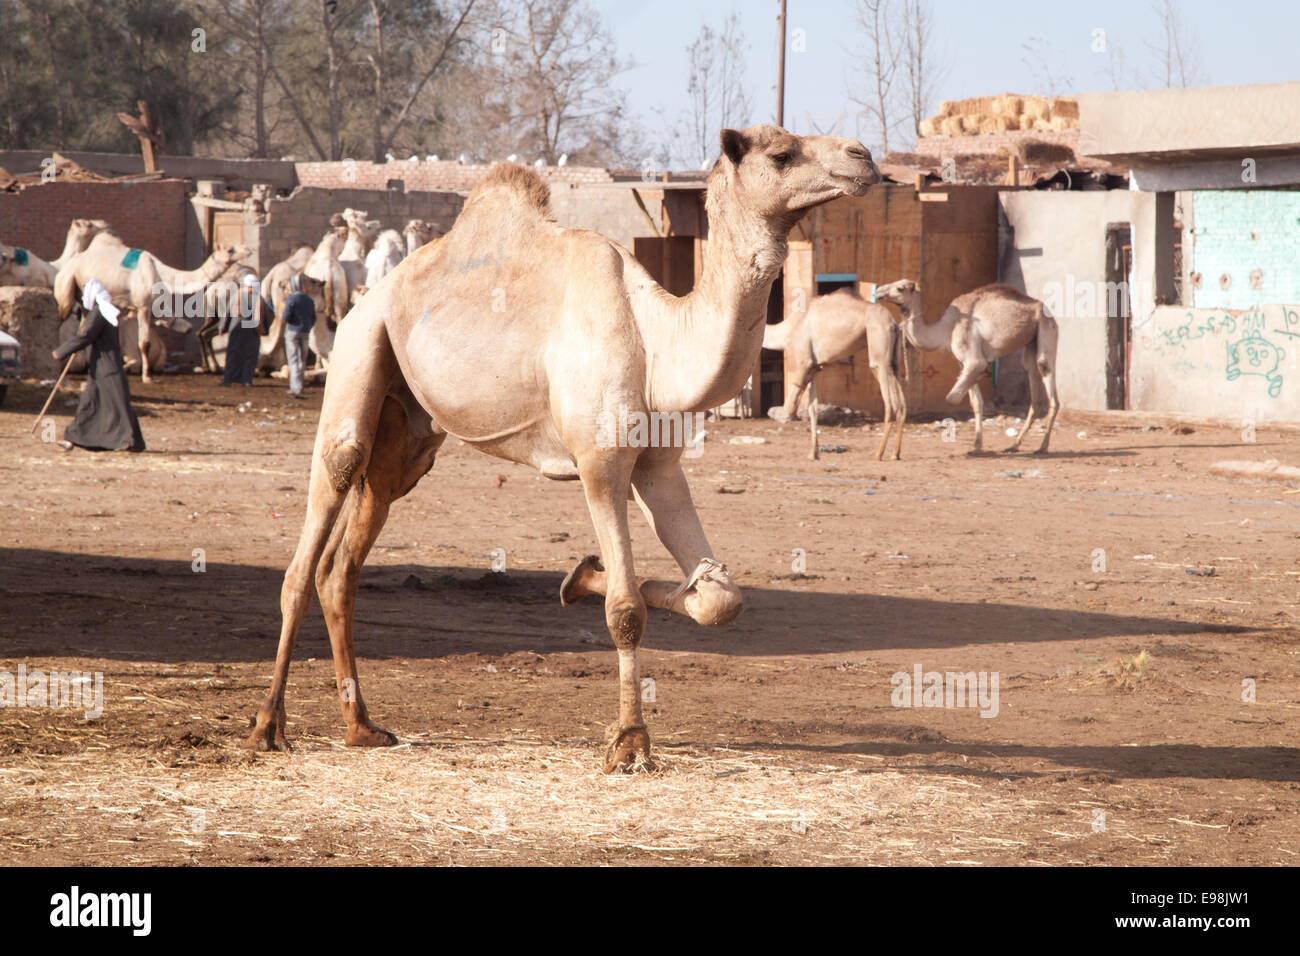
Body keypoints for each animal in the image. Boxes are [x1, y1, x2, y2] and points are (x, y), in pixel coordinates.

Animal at [54, 231, 250, 383]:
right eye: (230, 249)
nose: (248, 250)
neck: (160, 274)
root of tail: (70, 264)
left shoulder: (149, 309)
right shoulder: (142, 306)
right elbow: (144, 342)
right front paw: (147, 377)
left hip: (84, 300)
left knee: (82, 329)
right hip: (66, 286)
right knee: (61, 317)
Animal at [244, 125, 879, 772]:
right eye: (781, 154)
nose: (863, 157)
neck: (656, 340)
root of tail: (370, 294)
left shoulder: (658, 465)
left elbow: (720, 599)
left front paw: (582, 575)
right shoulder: (599, 464)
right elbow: (626, 610)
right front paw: (630, 743)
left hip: (408, 434)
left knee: (344, 560)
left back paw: (362, 727)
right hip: (359, 347)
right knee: (318, 521)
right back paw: (268, 727)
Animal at [763, 287, 907, 460]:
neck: (786, 331)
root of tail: (894, 323)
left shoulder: (805, 361)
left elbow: (790, 405)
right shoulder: (816, 367)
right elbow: (812, 410)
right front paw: (813, 453)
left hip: (879, 349)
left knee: (889, 404)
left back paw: (878, 454)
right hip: (894, 358)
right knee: (901, 403)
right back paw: (895, 454)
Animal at [873, 279, 1060, 454]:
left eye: (900, 288)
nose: (879, 292)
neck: (946, 330)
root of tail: (1047, 311)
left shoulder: (973, 359)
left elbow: (952, 397)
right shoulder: (963, 363)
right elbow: (976, 403)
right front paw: (976, 447)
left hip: (1046, 327)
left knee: (1046, 373)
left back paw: (1042, 447)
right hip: (1031, 340)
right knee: (1033, 378)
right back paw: (1014, 445)